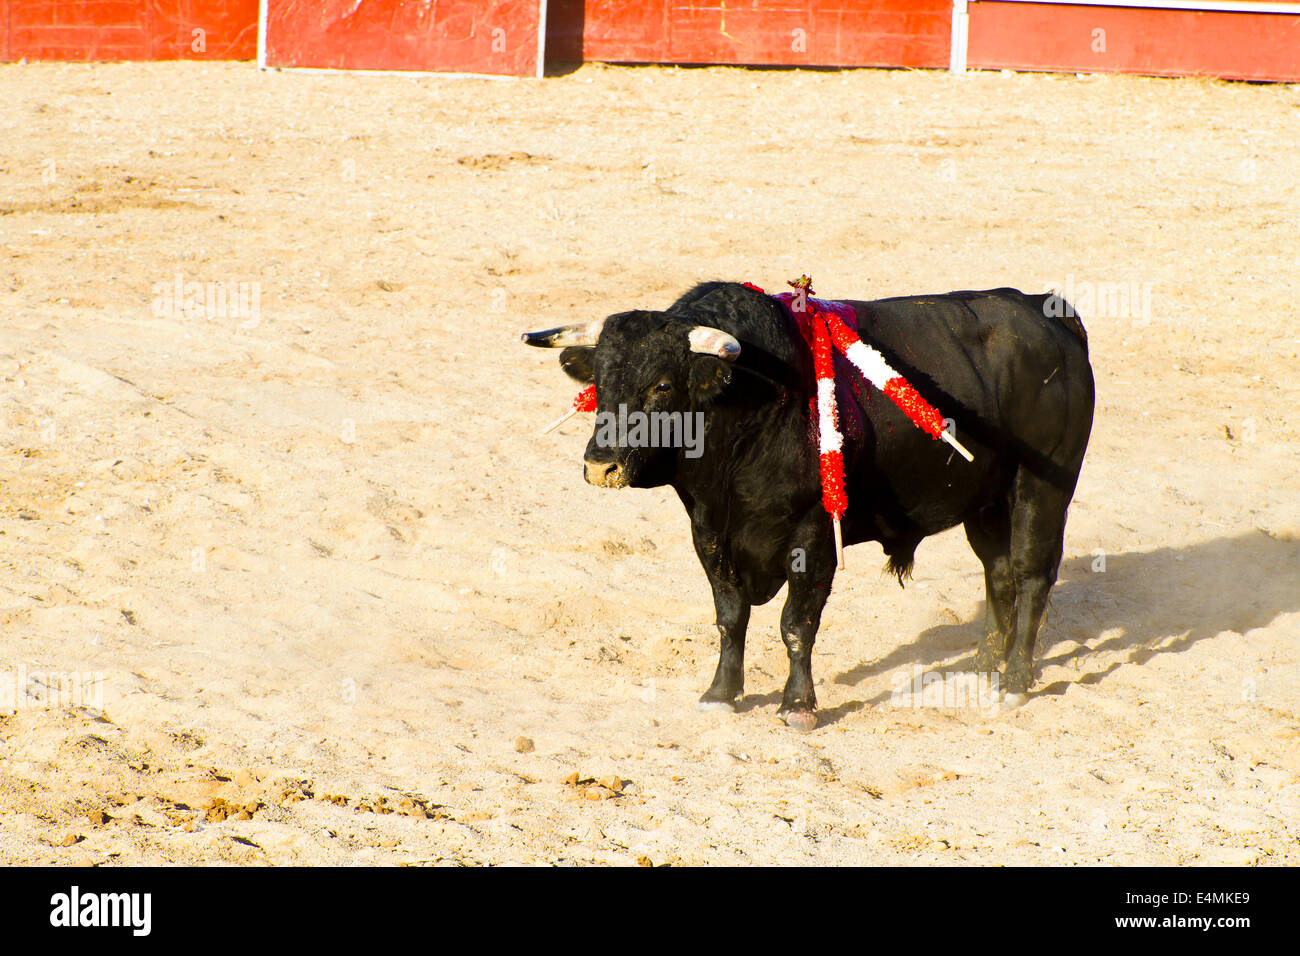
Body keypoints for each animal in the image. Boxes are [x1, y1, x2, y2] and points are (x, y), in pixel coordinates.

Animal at [522, 282, 1094, 730]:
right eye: (600, 382)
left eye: (662, 385)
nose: (601, 467)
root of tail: (1046, 311)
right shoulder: (709, 531)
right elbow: (729, 615)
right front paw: (720, 693)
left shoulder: (812, 537)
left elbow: (796, 624)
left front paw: (797, 705)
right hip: (986, 503)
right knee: (998, 573)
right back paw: (984, 662)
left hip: (1043, 489)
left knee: (1031, 575)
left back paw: (1014, 680)